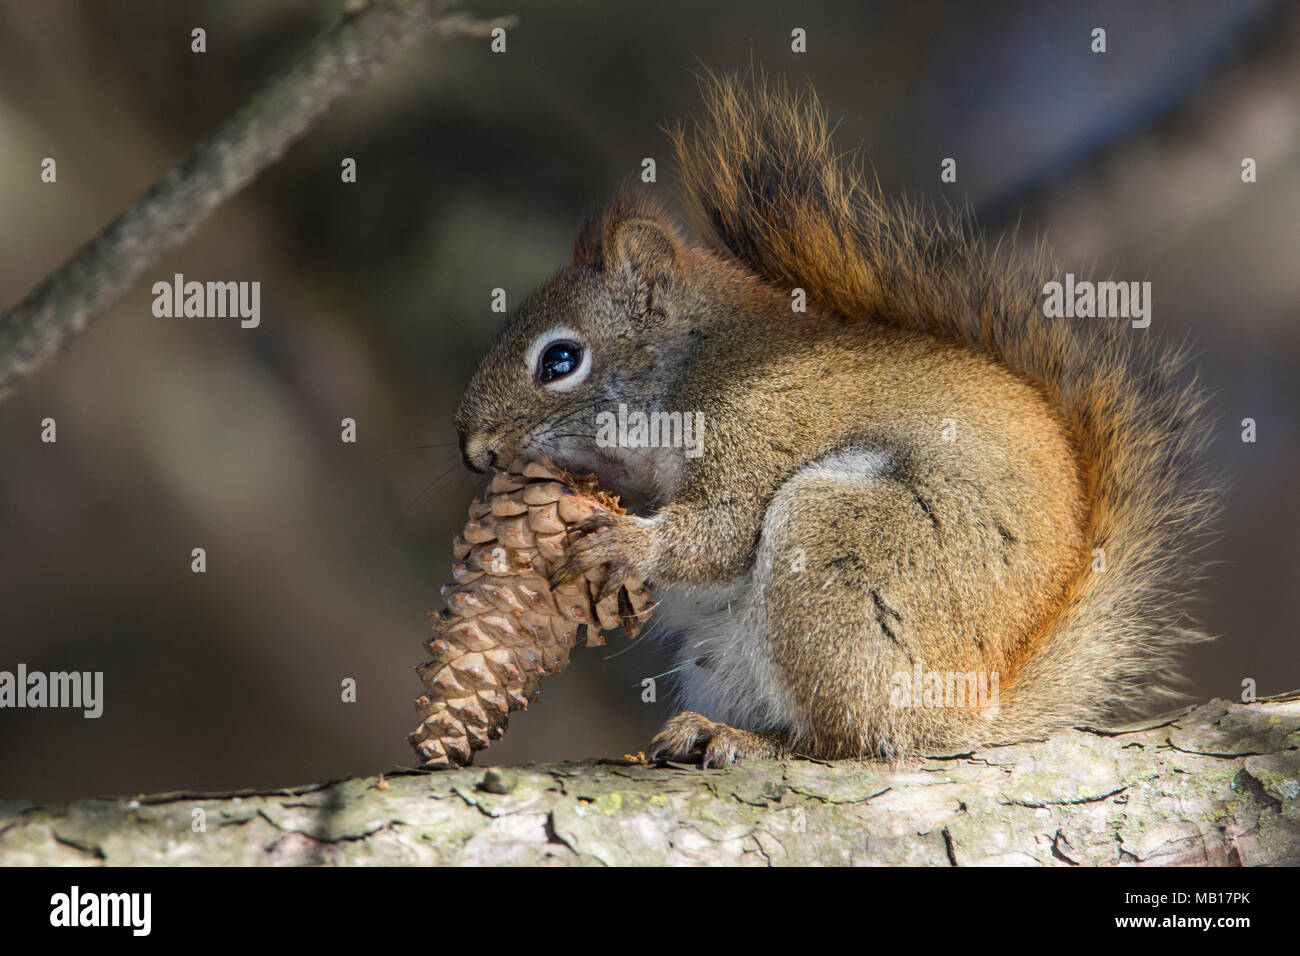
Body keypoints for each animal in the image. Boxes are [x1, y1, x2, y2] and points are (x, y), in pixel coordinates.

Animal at [454, 74, 1217, 767]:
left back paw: (751, 740)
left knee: (850, 736)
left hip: (843, 549)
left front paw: (621, 541)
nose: (474, 450)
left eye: (559, 359)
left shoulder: (758, 422)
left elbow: (720, 532)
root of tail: (969, 706)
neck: (695, 362)